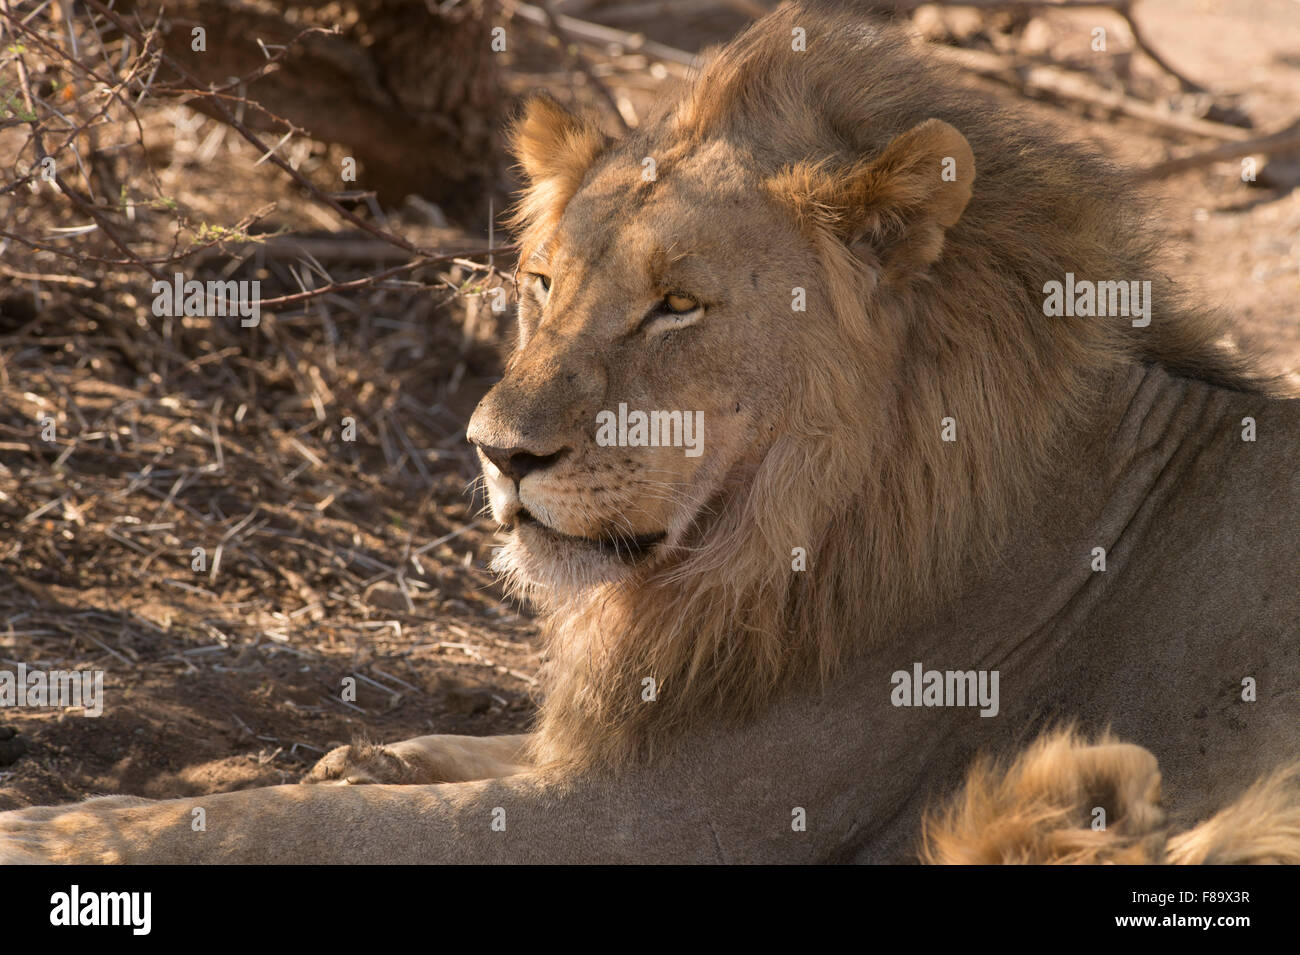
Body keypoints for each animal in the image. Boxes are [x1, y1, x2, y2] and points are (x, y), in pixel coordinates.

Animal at [2, 1, 1298, 864]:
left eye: (677, 304)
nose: (497, 452)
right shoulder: (624, 741)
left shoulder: (656, 818)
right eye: (538, 283)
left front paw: (58, 828)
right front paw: (369, 751)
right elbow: (430, 761)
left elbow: (284, 824)